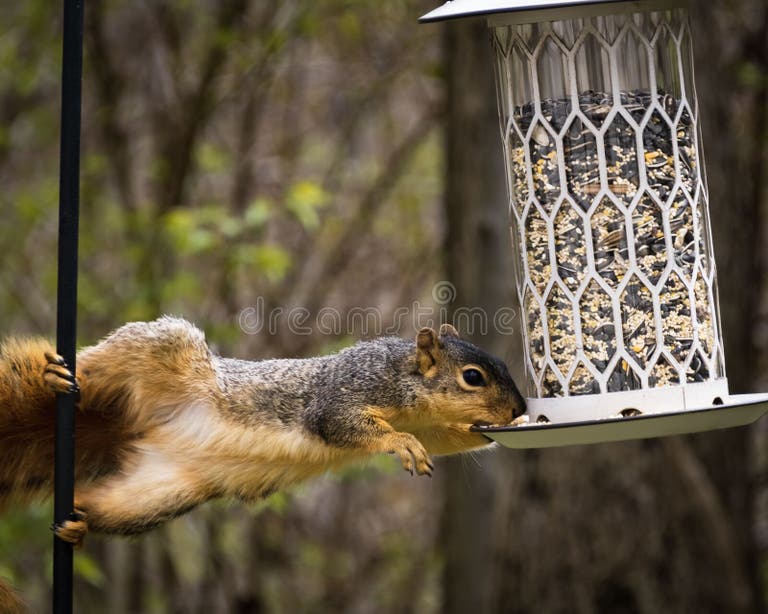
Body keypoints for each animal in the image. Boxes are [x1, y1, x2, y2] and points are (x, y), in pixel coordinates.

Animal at [0, 316, 524, 611]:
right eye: (473, 377)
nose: (518, 409)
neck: (413, 394)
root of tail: (130, 428)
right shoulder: (345, 392)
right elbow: (342, 423)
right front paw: (401, 443)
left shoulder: (436, 427)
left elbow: (450, 439)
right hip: (157, 351)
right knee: (96, 364)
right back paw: (55, 376)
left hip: (159, 494)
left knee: (107, 505)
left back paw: (80, 521)